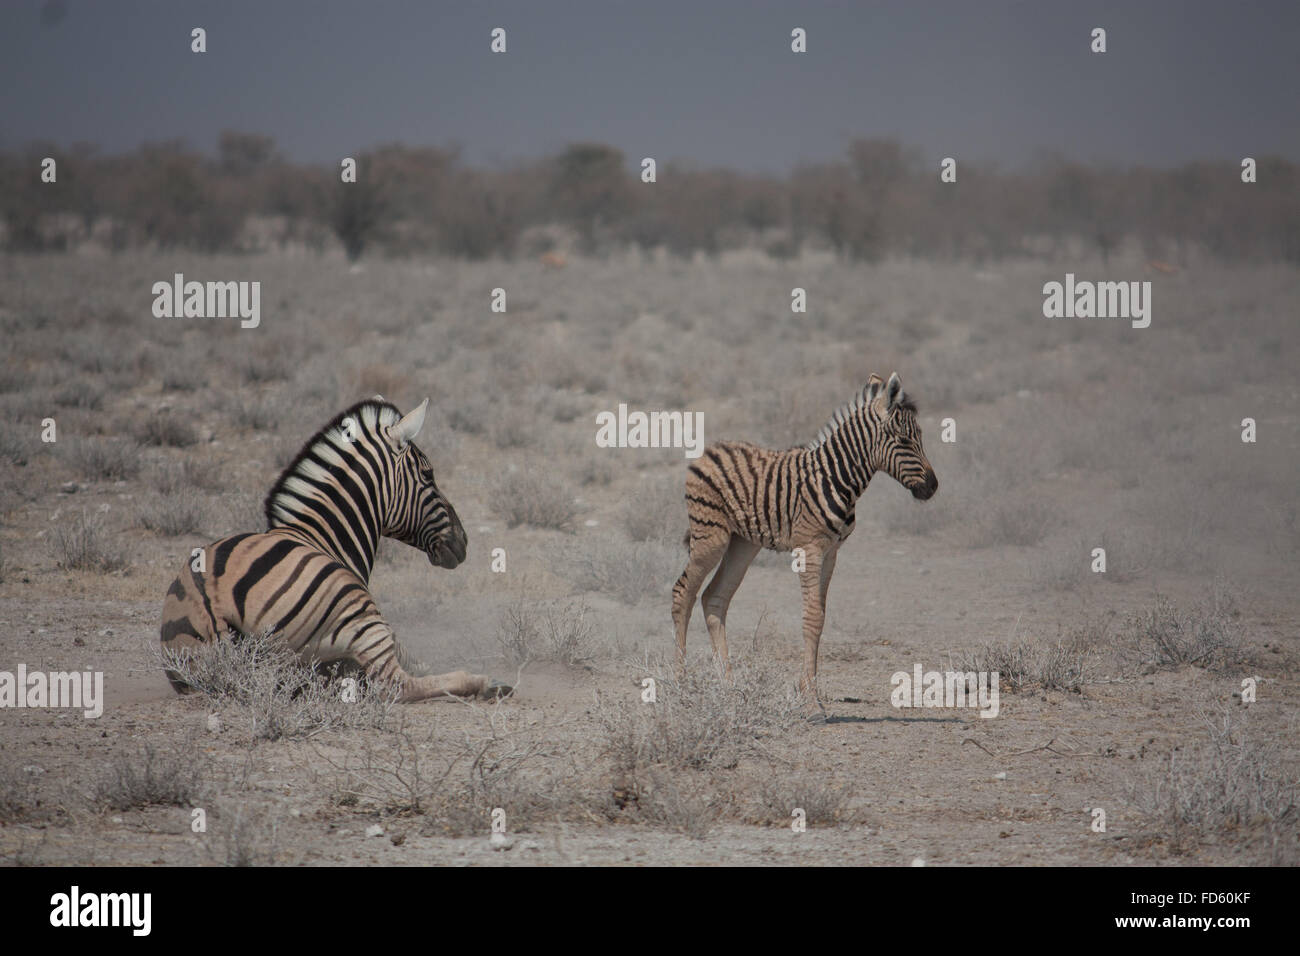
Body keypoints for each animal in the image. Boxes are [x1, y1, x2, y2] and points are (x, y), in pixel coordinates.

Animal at [160, 397, 511, 702]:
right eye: (428, 474)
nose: (463, 541)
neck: (322, 536)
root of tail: (212, 603)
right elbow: (415, 661)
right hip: (358, 613)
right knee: (396, 684)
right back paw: (486, 682)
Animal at [671, 372, 938, 697]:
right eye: (904, 440)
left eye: (919, 436)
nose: (933, 487)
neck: (837, 479)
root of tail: (709, 450)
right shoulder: (809, 548)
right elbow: (811, 617)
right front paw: (810, 696)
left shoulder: (832, 552)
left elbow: (820, 616)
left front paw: (807, 686)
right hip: (711, 536)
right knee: (682, 592)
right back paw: (680, 680)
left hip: (741, 543)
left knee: (714, 597)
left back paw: (728, 683)